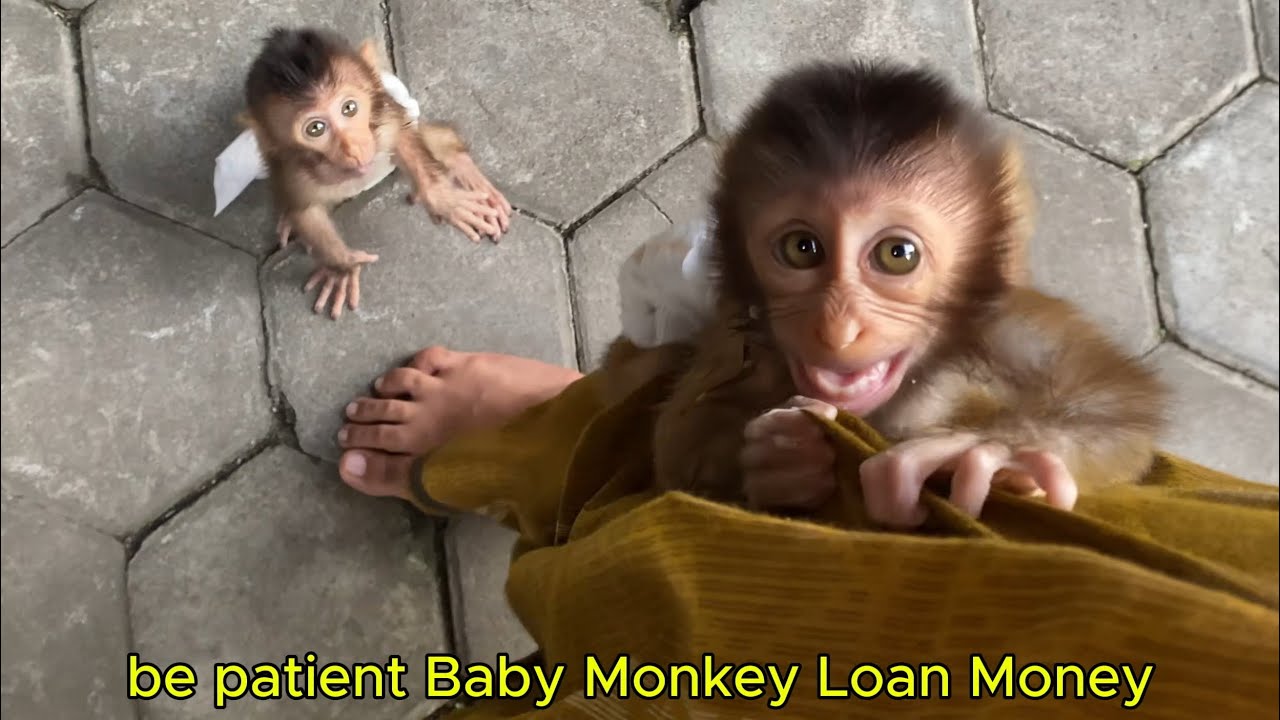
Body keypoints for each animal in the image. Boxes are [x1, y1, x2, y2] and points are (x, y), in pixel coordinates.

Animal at [241, 27, 512, 318]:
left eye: (349, 108)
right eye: (316, 128)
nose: (353, 148)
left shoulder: (384, 120)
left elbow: (403, 138)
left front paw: (443, 199)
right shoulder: (293, 170)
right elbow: (305, 210)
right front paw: (343, 266)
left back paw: (465, 169)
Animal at [608, 60, 1168, 530]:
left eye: (897, 255)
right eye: (801, 248)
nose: (837, 326)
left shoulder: (1011, 330)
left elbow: (1115, 407)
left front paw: (983, 455)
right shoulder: (732, 328)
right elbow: (675, 451)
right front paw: (780, 462)